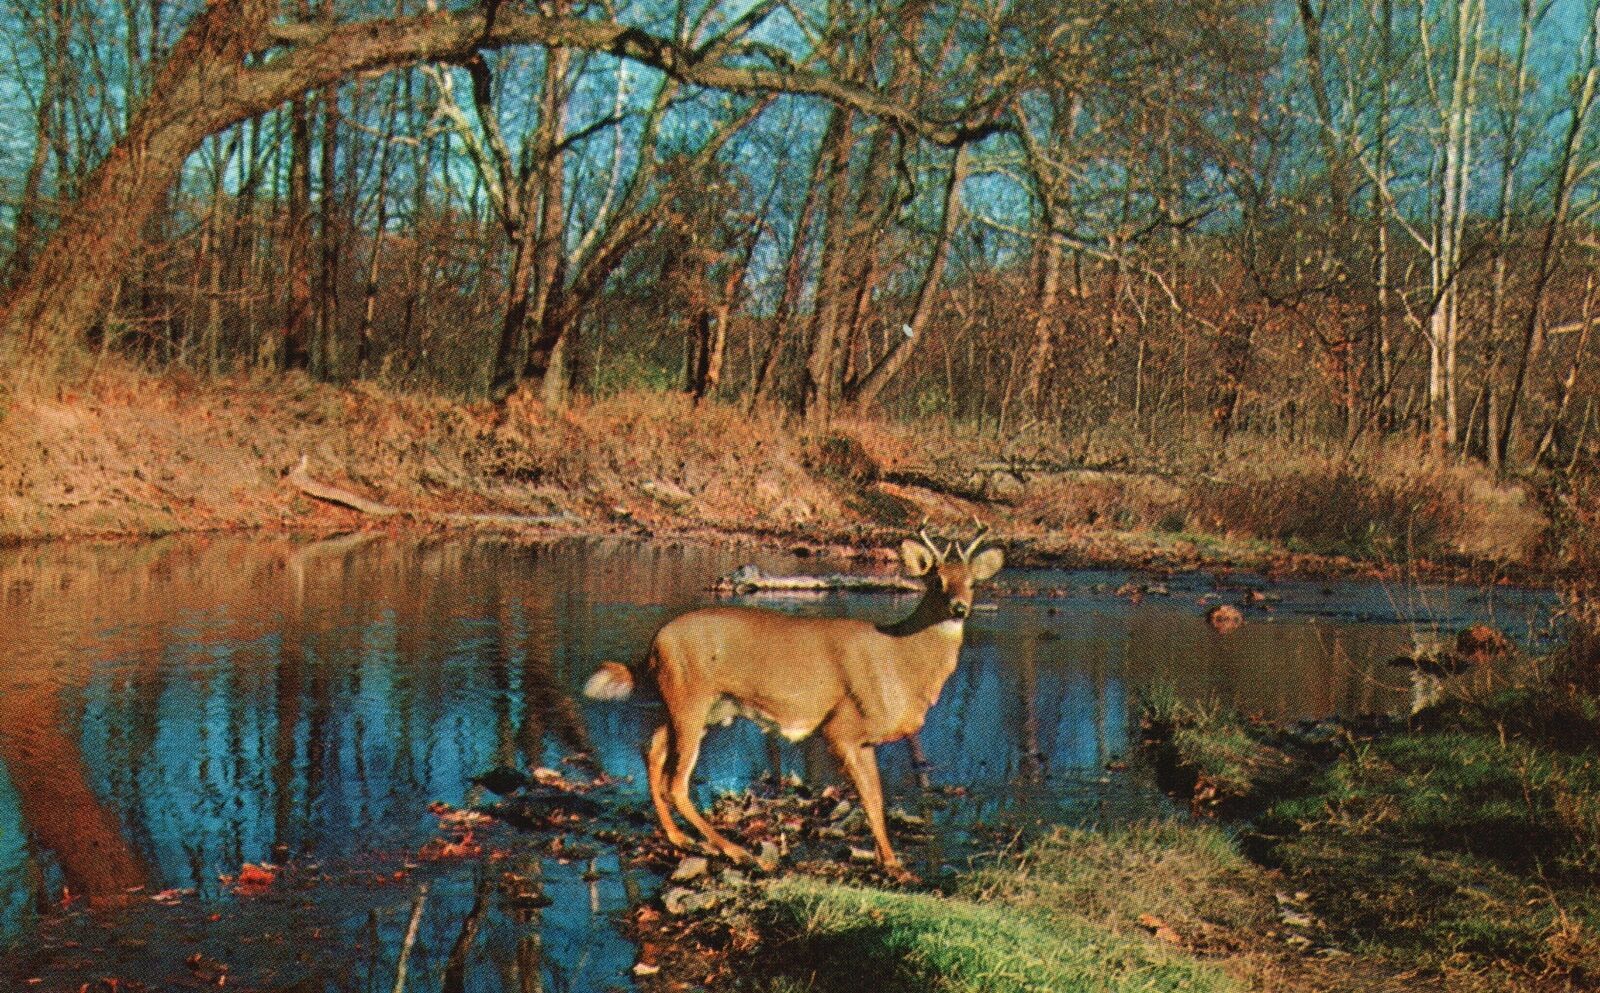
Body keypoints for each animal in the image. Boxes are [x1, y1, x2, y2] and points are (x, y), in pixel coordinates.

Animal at [582, 526, 1003, 873]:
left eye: (971, 583)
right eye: (936, 580)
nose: (959, 608)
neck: (902, 659)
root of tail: (655, 643)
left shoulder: (864, 739)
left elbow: (877, 799)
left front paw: (891, 859)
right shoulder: (844, 726)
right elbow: (869, 796)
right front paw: (892, 865)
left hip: (701, 707)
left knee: (651, 747)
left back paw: (679, 837)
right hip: (690, 697)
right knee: (677, 781)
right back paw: (736, 850)